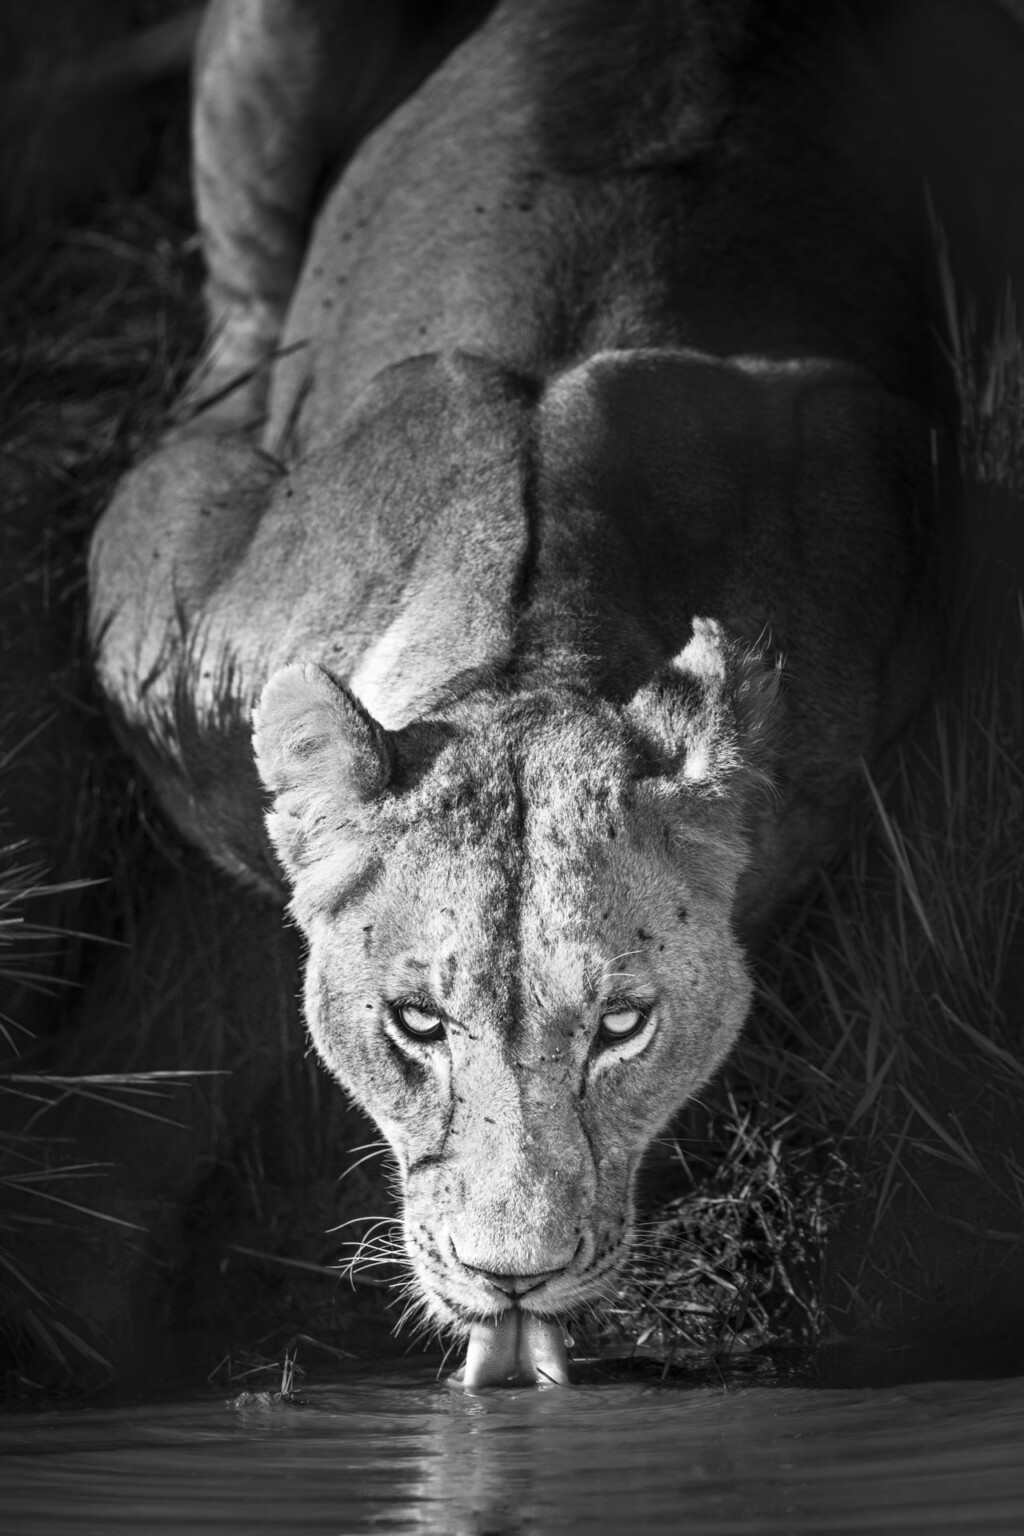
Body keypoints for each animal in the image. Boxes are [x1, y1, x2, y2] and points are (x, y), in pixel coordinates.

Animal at [88, 0, 1007, 1384]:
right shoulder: (158, 585)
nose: (509, 1278)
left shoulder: (887, 491)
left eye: (622, 1025)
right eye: (414, 1023)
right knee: (242, 300)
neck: (529, 640)